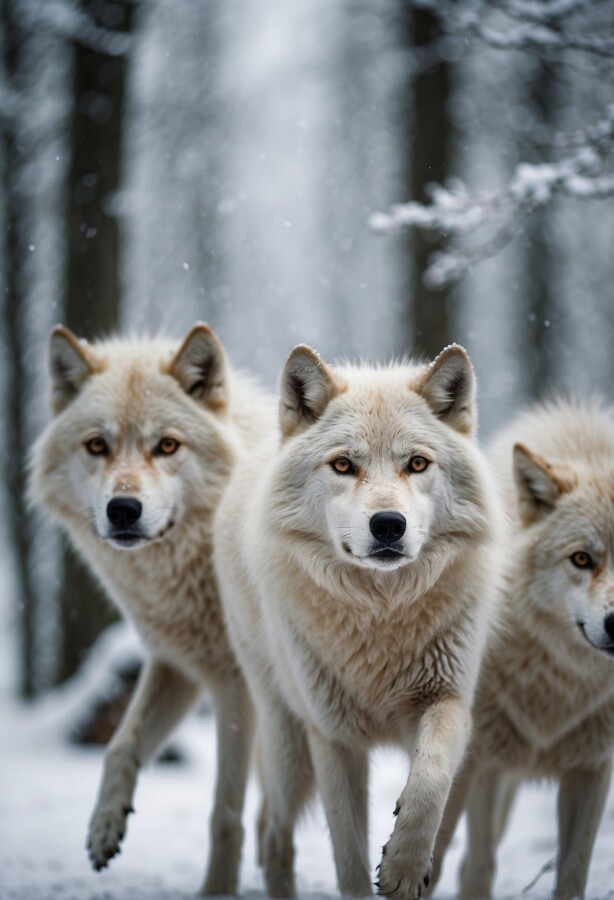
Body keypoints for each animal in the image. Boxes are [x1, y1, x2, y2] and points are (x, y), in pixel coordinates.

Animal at [29, 323, 276, 895]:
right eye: (97, 445)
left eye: (166, 445)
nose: (123, 510)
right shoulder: (177, 666)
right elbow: (121, 743)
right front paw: (104, 828)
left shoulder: (236, 685)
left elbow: (224, 813)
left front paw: (216, 890)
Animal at [213, 343, 502, 900]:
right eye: (344, 464)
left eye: (417, 463)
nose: (389, 525)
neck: (380, 613)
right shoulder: (334, 736)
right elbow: (347, 854)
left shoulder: (450, 700)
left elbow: (429, 780)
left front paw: (405, 867)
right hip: (286, 741)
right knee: (272, 832)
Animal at [430, 399, 614, 900]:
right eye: (582, 559)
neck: (561, 684)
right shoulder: (478, 762)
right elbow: (470, 866)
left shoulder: (592, 769)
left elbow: (572, 874)